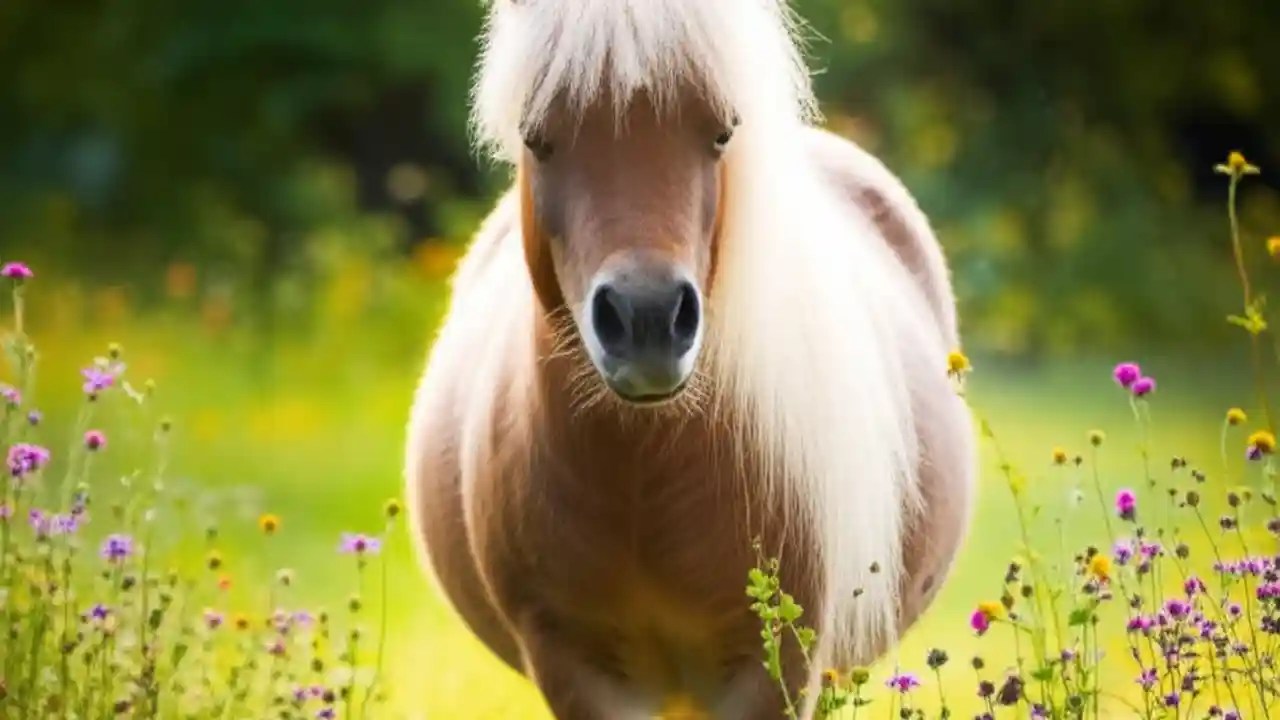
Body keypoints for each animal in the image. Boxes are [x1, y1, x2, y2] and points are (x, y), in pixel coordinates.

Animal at [405, 1, 975, 717]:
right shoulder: (572, 665)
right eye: (537, 138)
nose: (646, 320)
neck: (644, 472)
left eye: (721, 133)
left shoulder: (778, 662)